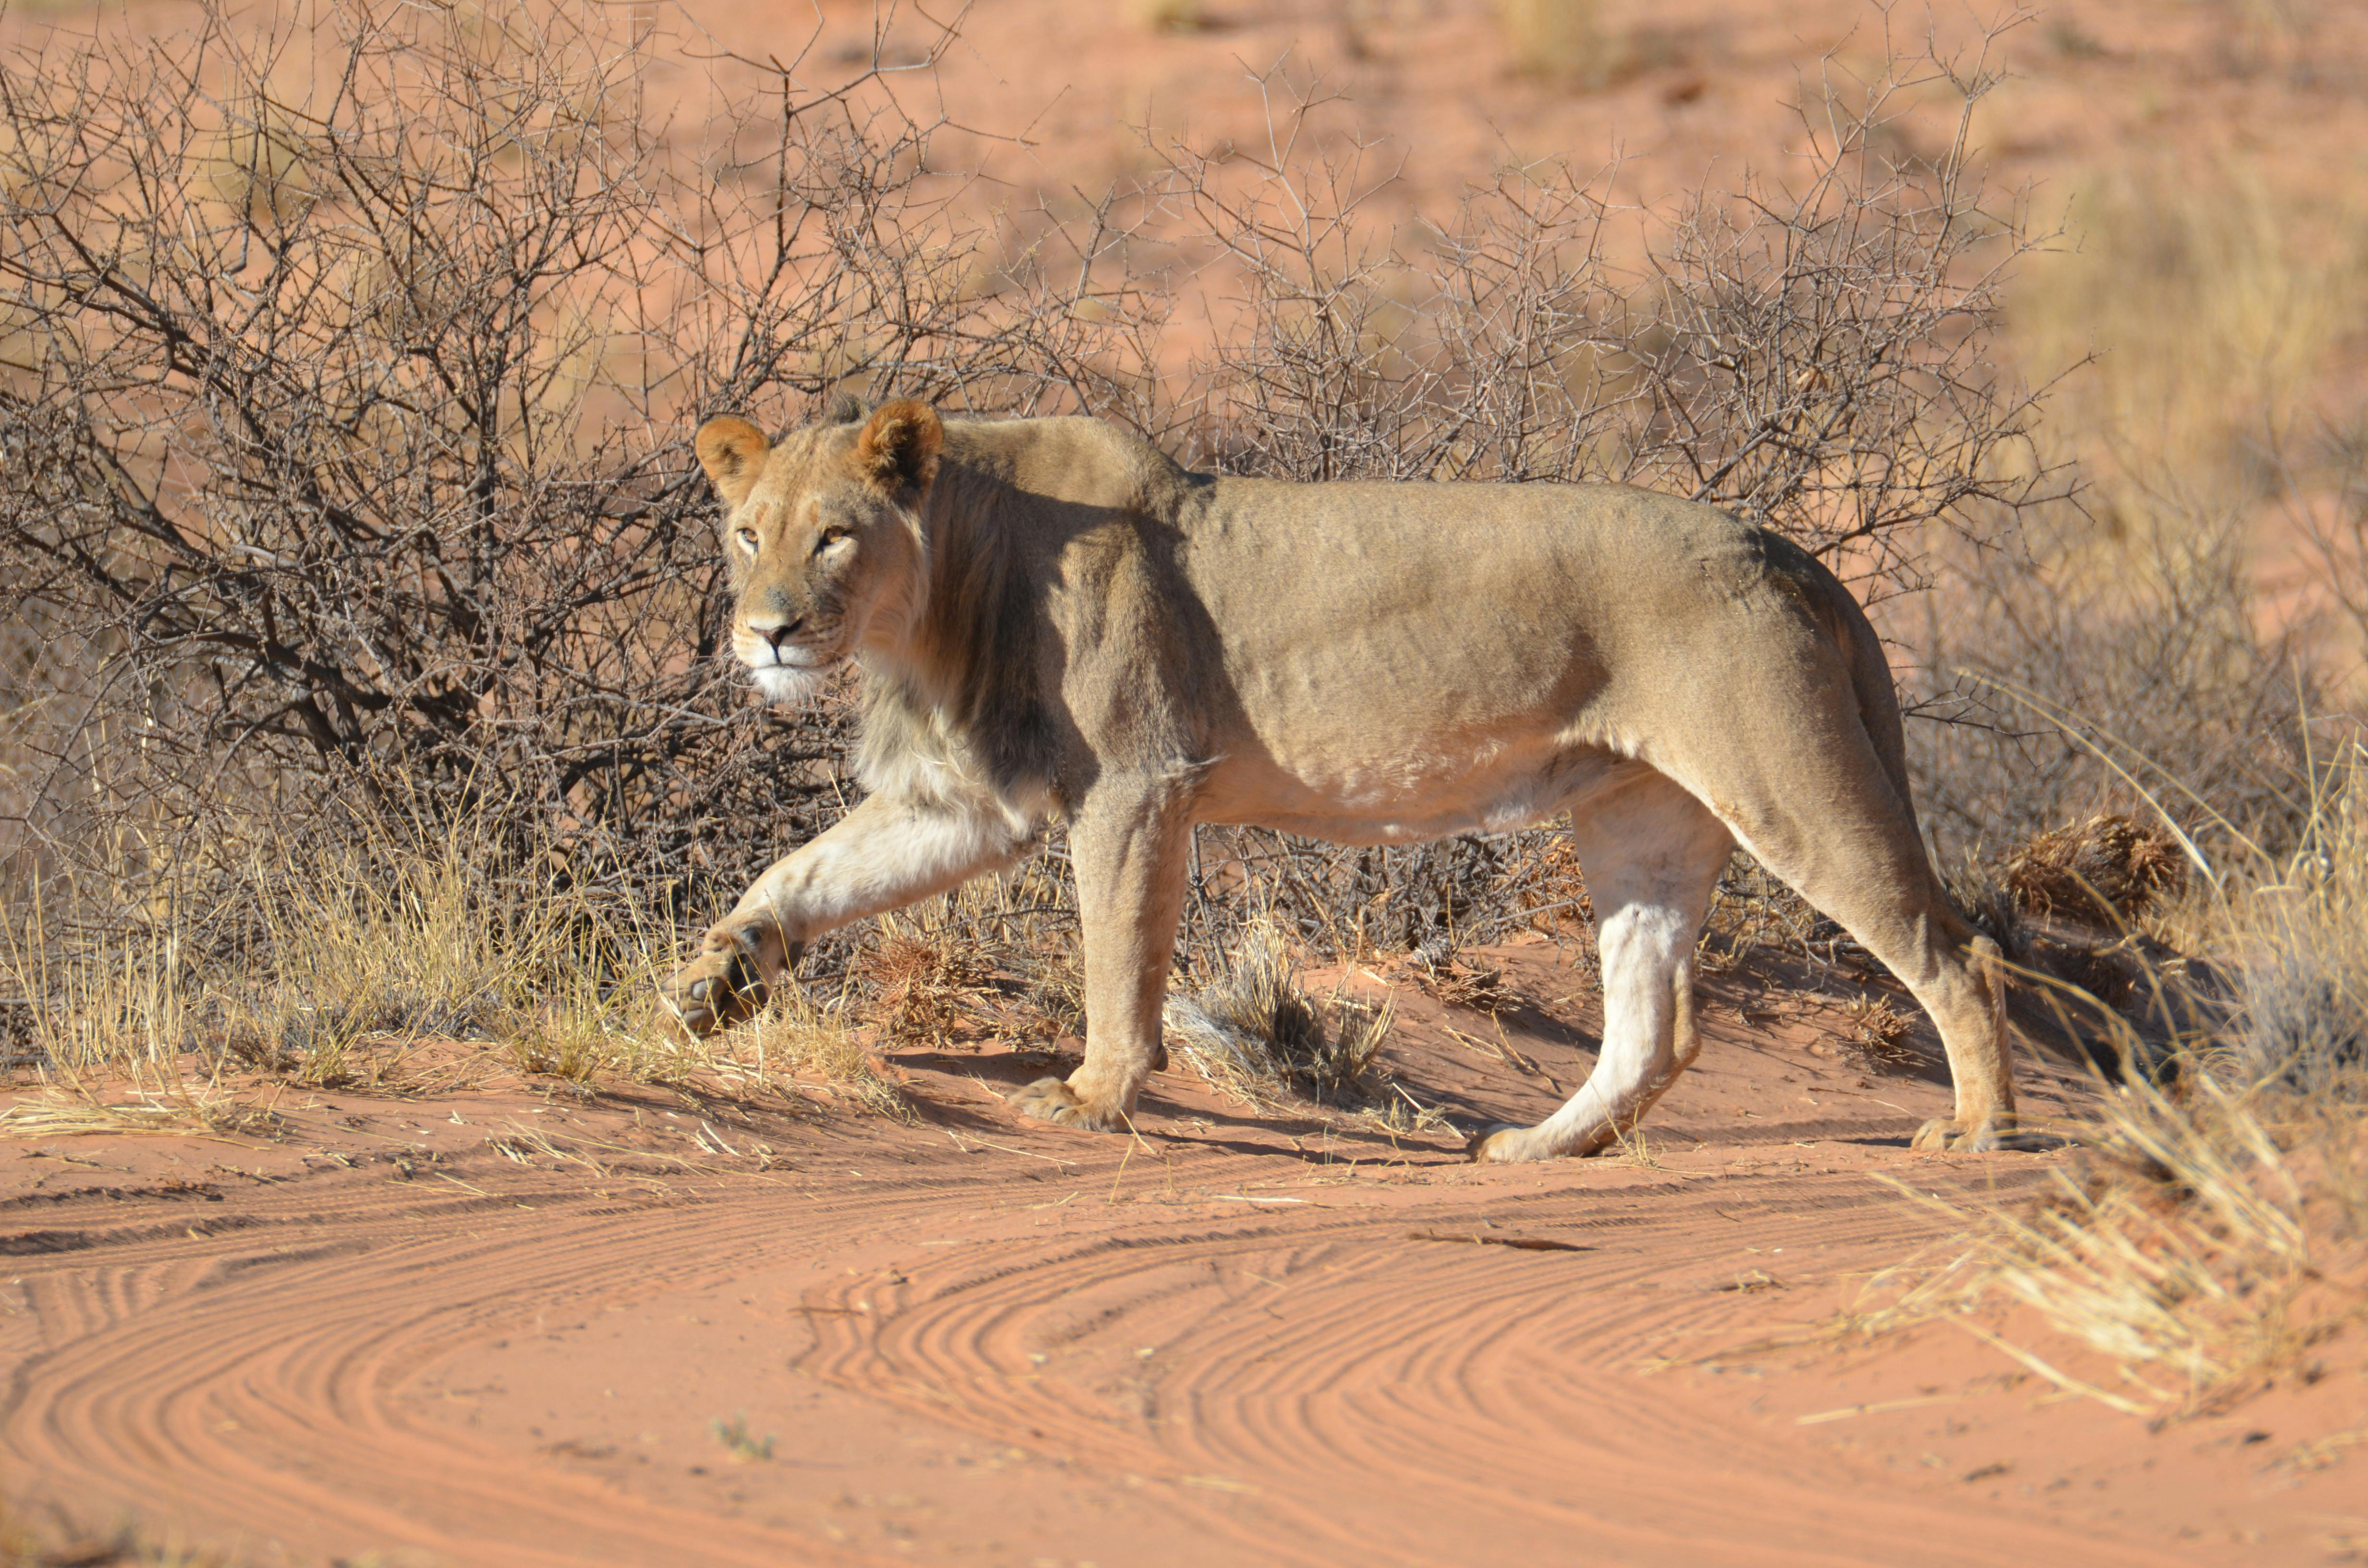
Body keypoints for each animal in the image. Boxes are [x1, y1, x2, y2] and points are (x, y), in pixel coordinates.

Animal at [659, 397, 2027, 1159]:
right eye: (747, 533)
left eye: (835, 537)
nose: (767, 633)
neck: (934, 598)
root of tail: (1780, 542)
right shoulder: (975, 800)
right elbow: (803, 873)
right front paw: (710, 982)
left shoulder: (1137, 781)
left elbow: (1117, 959)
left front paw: (1096, 1096)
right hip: (1645, 819)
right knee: (1658, 1026)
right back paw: (1538, 1150)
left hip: (1786, 779)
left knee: (1954, 952)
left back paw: (1978, 1134)